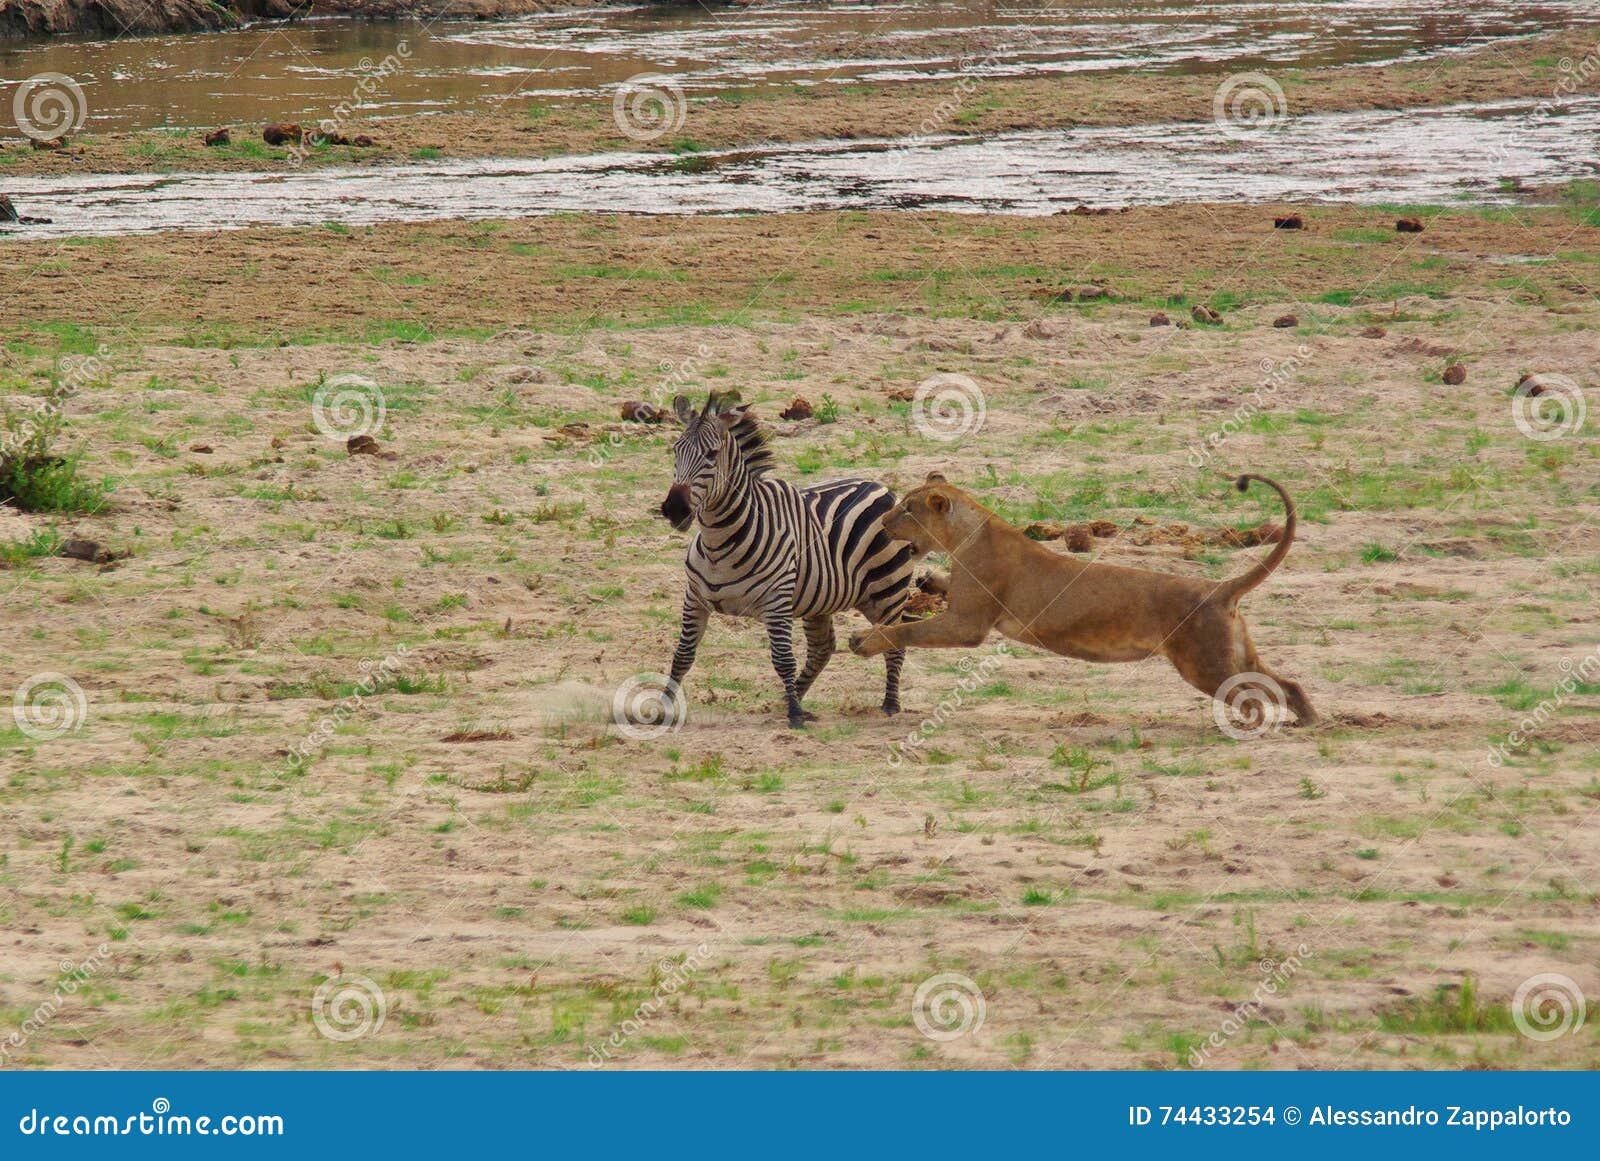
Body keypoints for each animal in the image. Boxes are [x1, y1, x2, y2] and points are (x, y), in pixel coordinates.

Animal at [658, 390, 916, 729]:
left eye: (712, 454)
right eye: (676, 450)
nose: (674, 509)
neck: (718, 544)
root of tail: (881, 486)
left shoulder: (776, 602)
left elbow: (782, 658)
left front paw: (794, 716)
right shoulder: (694, 599)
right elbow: (683, 655)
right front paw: (661, 708)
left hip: (888, 591)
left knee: (894, 642)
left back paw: (889, 704)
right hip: (821, 599)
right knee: (821, 650)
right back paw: (789, 700)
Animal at [849, 473, 1316, 730]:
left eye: (907, 509)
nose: (884, 521)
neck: (966, 533)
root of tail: (1218, 588)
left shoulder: (968, 625)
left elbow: (907, 628)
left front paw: (863, 641)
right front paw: (930, 578)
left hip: (1204, 664)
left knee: (1253, 699)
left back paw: (1251, 727)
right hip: (1234, 653)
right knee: (1286, 684)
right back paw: (1311, 723)